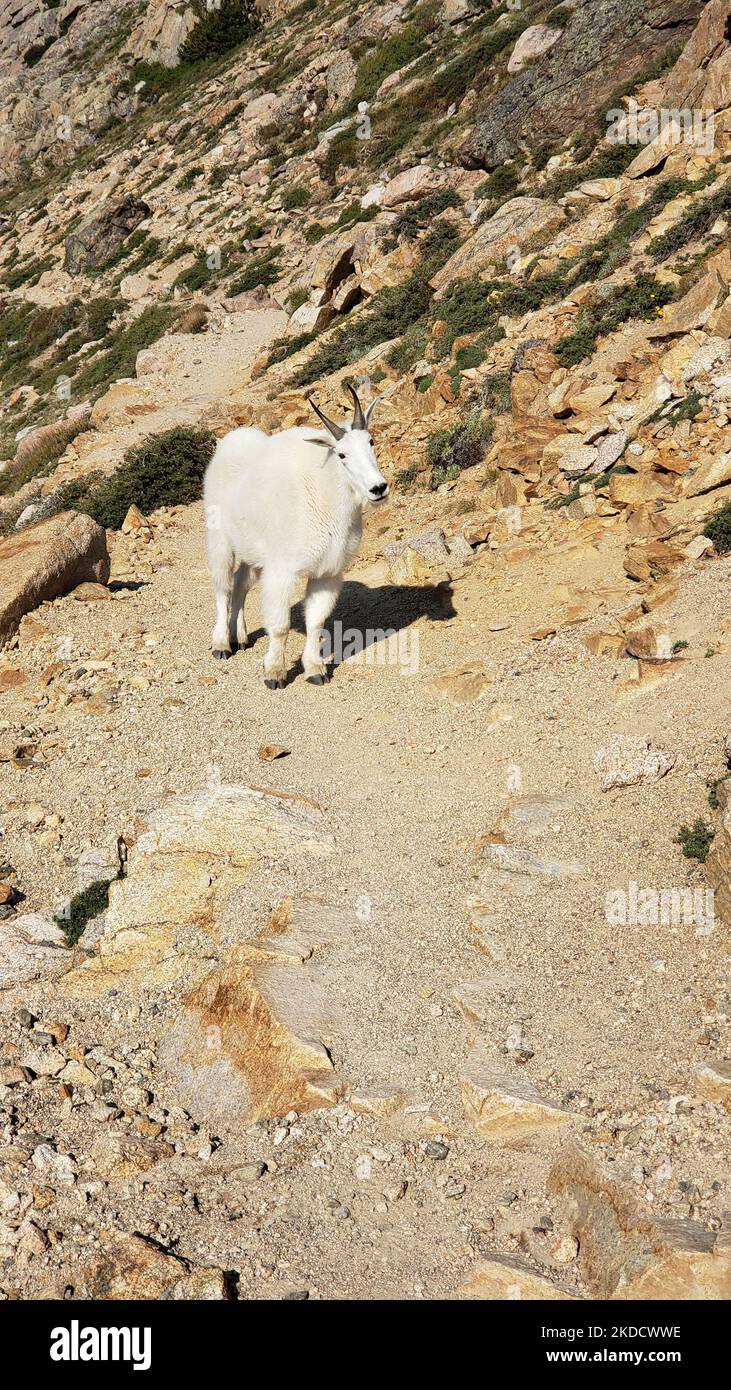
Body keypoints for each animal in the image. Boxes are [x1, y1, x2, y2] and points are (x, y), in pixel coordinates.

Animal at [203, 384, 388, 687]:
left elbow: (316, 622)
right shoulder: (282, 571)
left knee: (241, 582)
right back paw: (221, 643)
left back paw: (239, 636)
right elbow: (280, 626)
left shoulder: (327, 573)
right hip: (218, 539)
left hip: (253, 552)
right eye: (341, 455)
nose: (378, 488)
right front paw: (274, 673)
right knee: (223, 587)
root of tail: (227, 442)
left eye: (371, 442)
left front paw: (315, 670)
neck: (326, 497)